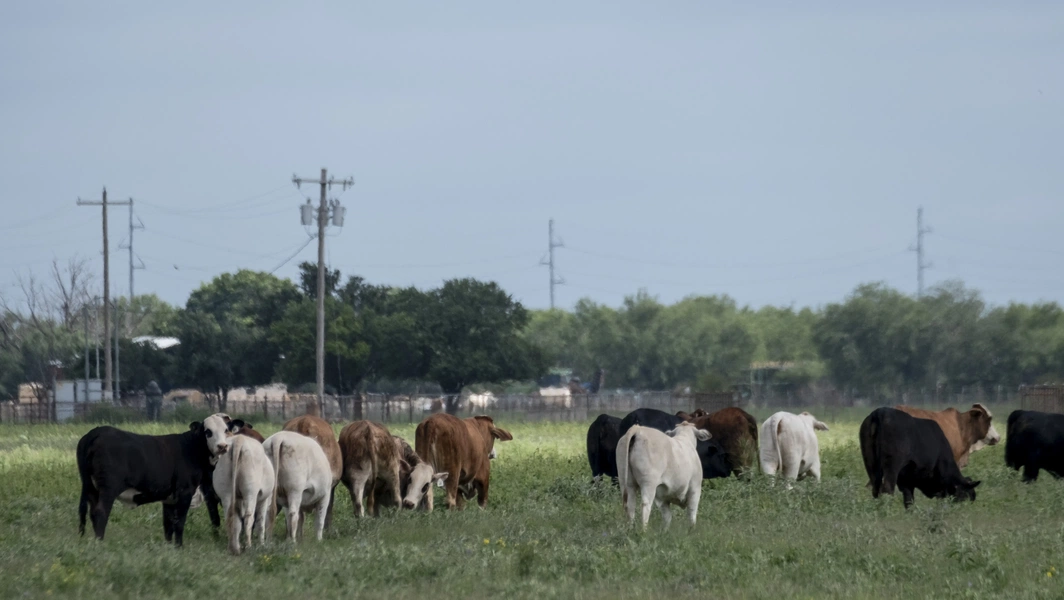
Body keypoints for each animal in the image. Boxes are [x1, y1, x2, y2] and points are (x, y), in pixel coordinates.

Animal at [76, 414, 230, 547]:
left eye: (226, 430)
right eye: (208, 431)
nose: (222, 446)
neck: (190, 448)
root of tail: (97, 431)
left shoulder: (169, 498)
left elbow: (168, 524)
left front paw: (169, 547)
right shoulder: (185, 492)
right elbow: (179, 522)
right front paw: (179, 546)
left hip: (90, 487)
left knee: (90, 512)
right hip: (108, 488)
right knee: (100, 512)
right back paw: (100, 542)